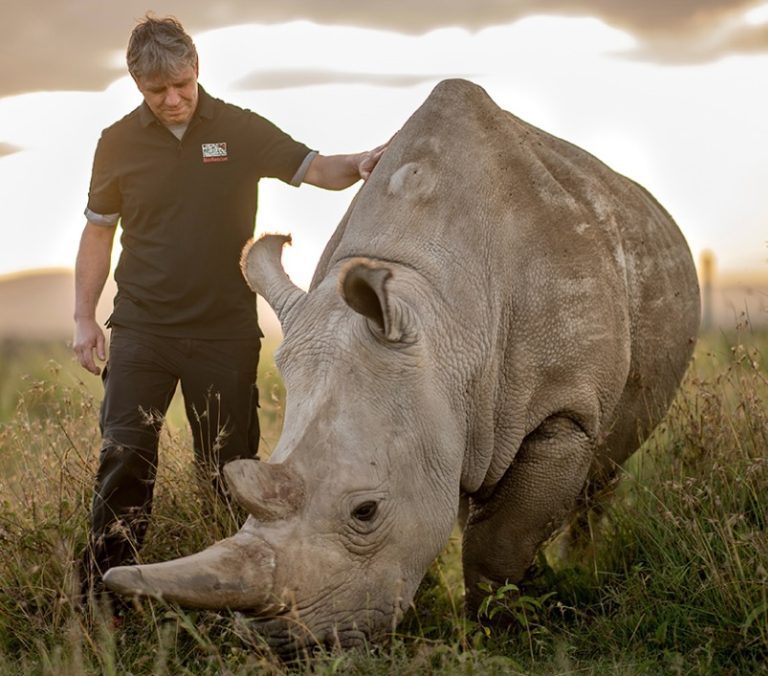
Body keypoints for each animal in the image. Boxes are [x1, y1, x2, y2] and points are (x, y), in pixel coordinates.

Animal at [103, 79, 700, 651]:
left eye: (365, 511)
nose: (284, 645)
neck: (443, 316)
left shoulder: (565, 411)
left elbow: (500, 538)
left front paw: (504, 626)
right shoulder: (448, 404)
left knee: (602, 471)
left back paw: (581, 565)